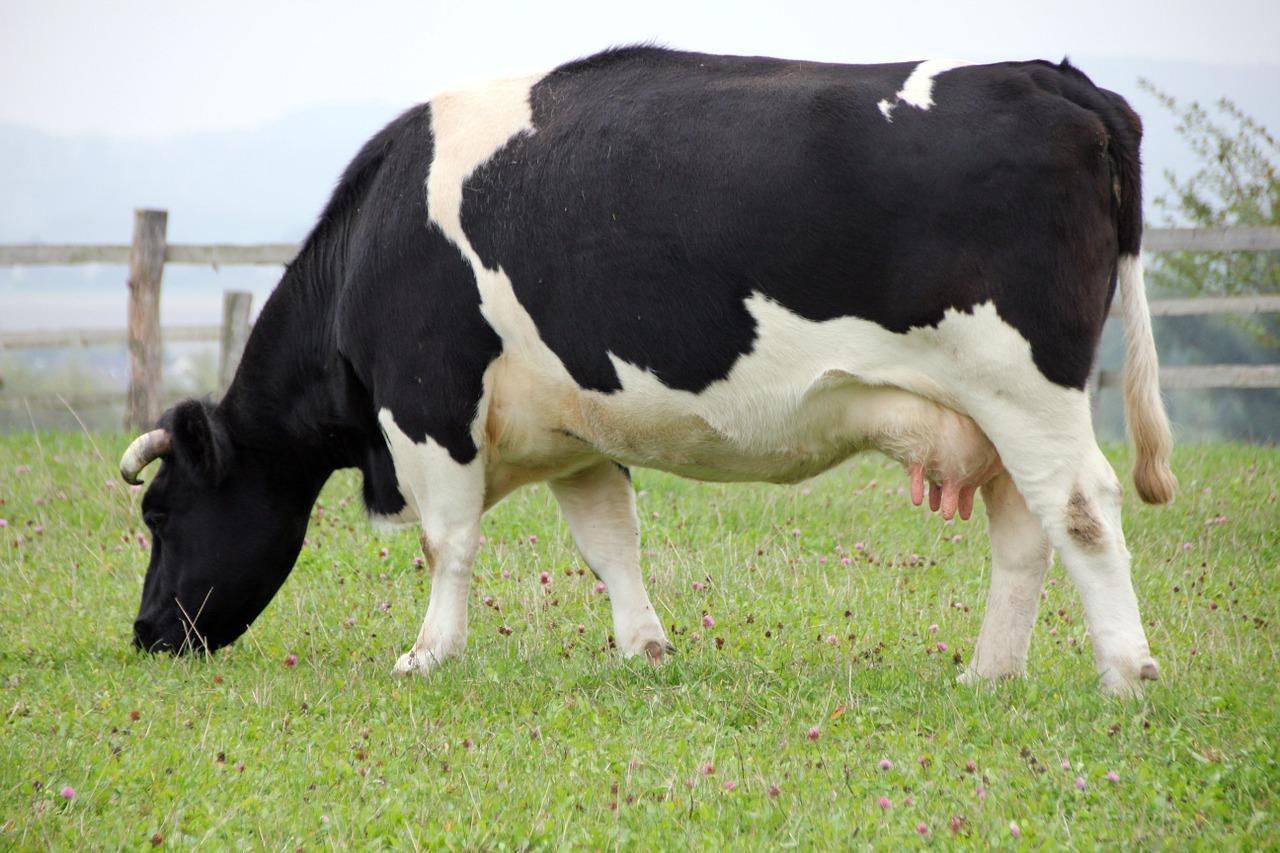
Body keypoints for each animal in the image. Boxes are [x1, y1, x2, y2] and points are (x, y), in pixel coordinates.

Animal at [121, 46, 1176, 696]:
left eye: (160, 512)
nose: (146, 631)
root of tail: (1053, 77)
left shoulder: (426, 401)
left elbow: (446, 540)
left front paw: (427, 653)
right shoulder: (574, 424)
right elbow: (608, 539)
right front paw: (644, 647)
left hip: (1023, 383)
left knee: (1081, 506)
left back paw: (1126, 672)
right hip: (988, 412)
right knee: (1024, 532)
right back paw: (987, 673)